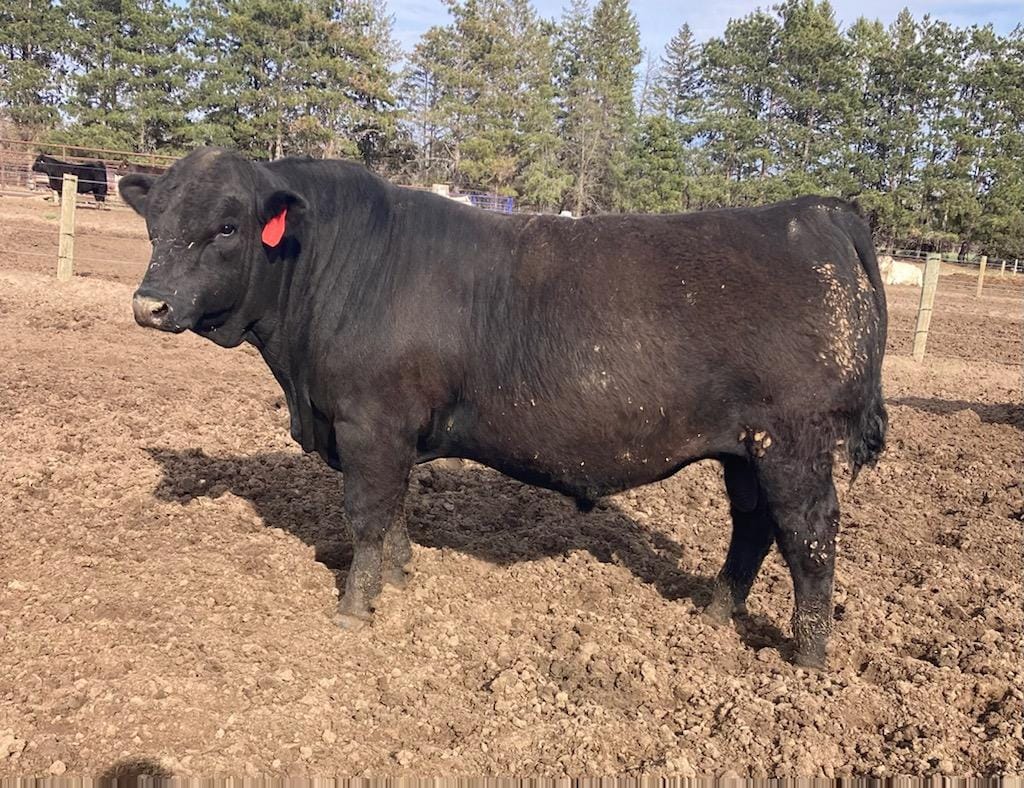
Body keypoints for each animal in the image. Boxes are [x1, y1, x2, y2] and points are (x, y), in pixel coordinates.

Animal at [119, 147, 888, 669]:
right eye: (154, 221)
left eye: (226, 226)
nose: (149, 304)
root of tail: (815, 212)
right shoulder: (391, 432)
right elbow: (396, 509)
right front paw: (399, 577)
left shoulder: (370, 422)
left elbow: (366, 514)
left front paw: (354, 608)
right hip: (746, 448)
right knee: (753, 527)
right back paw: (713, 613)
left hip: (794, 444)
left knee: (809, 535)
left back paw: (808, 657)